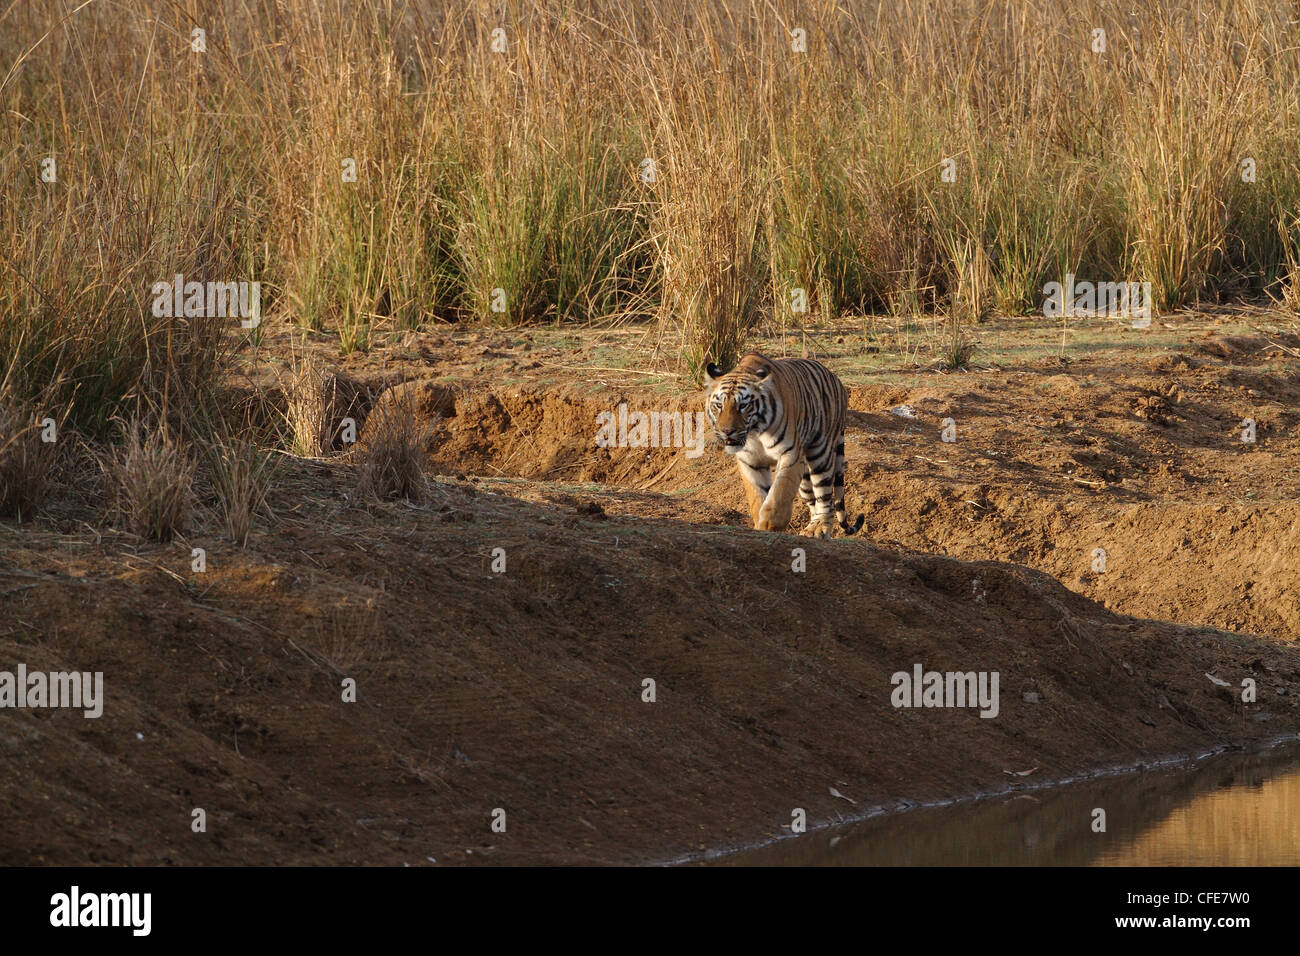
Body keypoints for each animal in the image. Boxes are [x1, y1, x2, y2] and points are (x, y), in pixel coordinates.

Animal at [704, 352, 864, 538]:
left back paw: (820, 529)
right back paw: (810, 528)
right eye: (718, 405)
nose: (727, 431)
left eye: (743, 406)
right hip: (804, 478)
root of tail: (837, 380)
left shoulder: (790, 454)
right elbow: (757, 496)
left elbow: (780, 492)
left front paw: (770, 524)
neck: (755, 432)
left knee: (826, 498)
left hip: (820, 454)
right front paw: (760, 525)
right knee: (812, 501)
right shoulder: (749, 461)